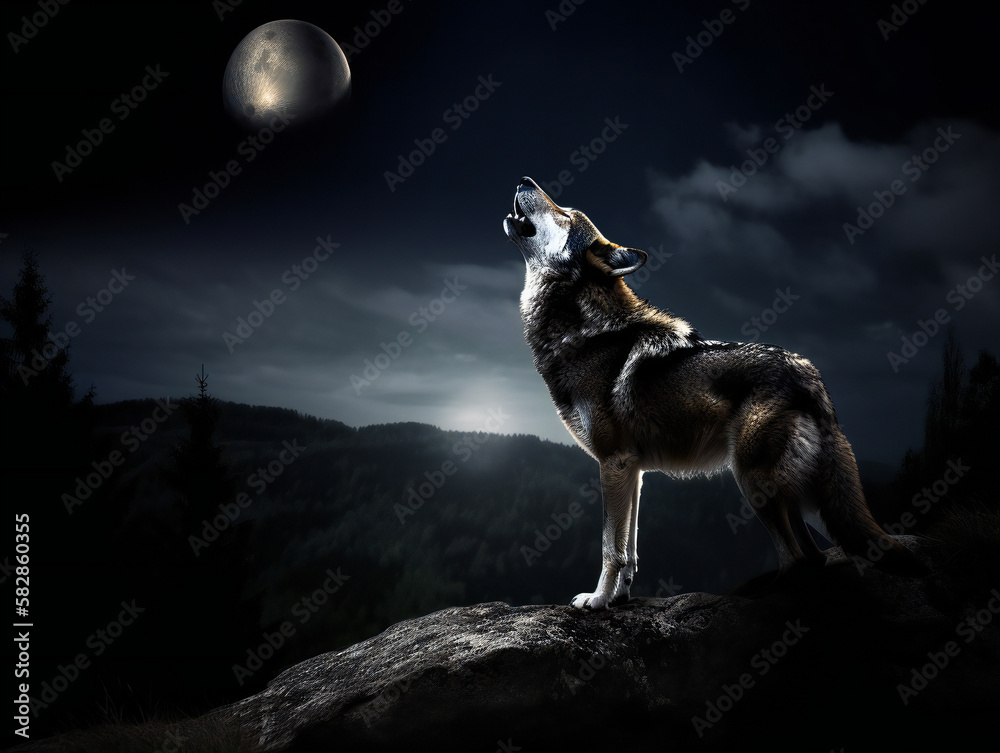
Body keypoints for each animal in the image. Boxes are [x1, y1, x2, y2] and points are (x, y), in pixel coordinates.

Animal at [503, 176, 924, 609]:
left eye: (565, 214)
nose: (525, 179)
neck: (585, 333)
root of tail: (810, 375)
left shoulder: (613, 462)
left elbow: (610, 547)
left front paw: (598, 601)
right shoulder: (633, 471)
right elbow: (629, 549)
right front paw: (620, 598)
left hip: (753, 482)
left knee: (799, 557)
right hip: (799, 497)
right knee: (817, 556)